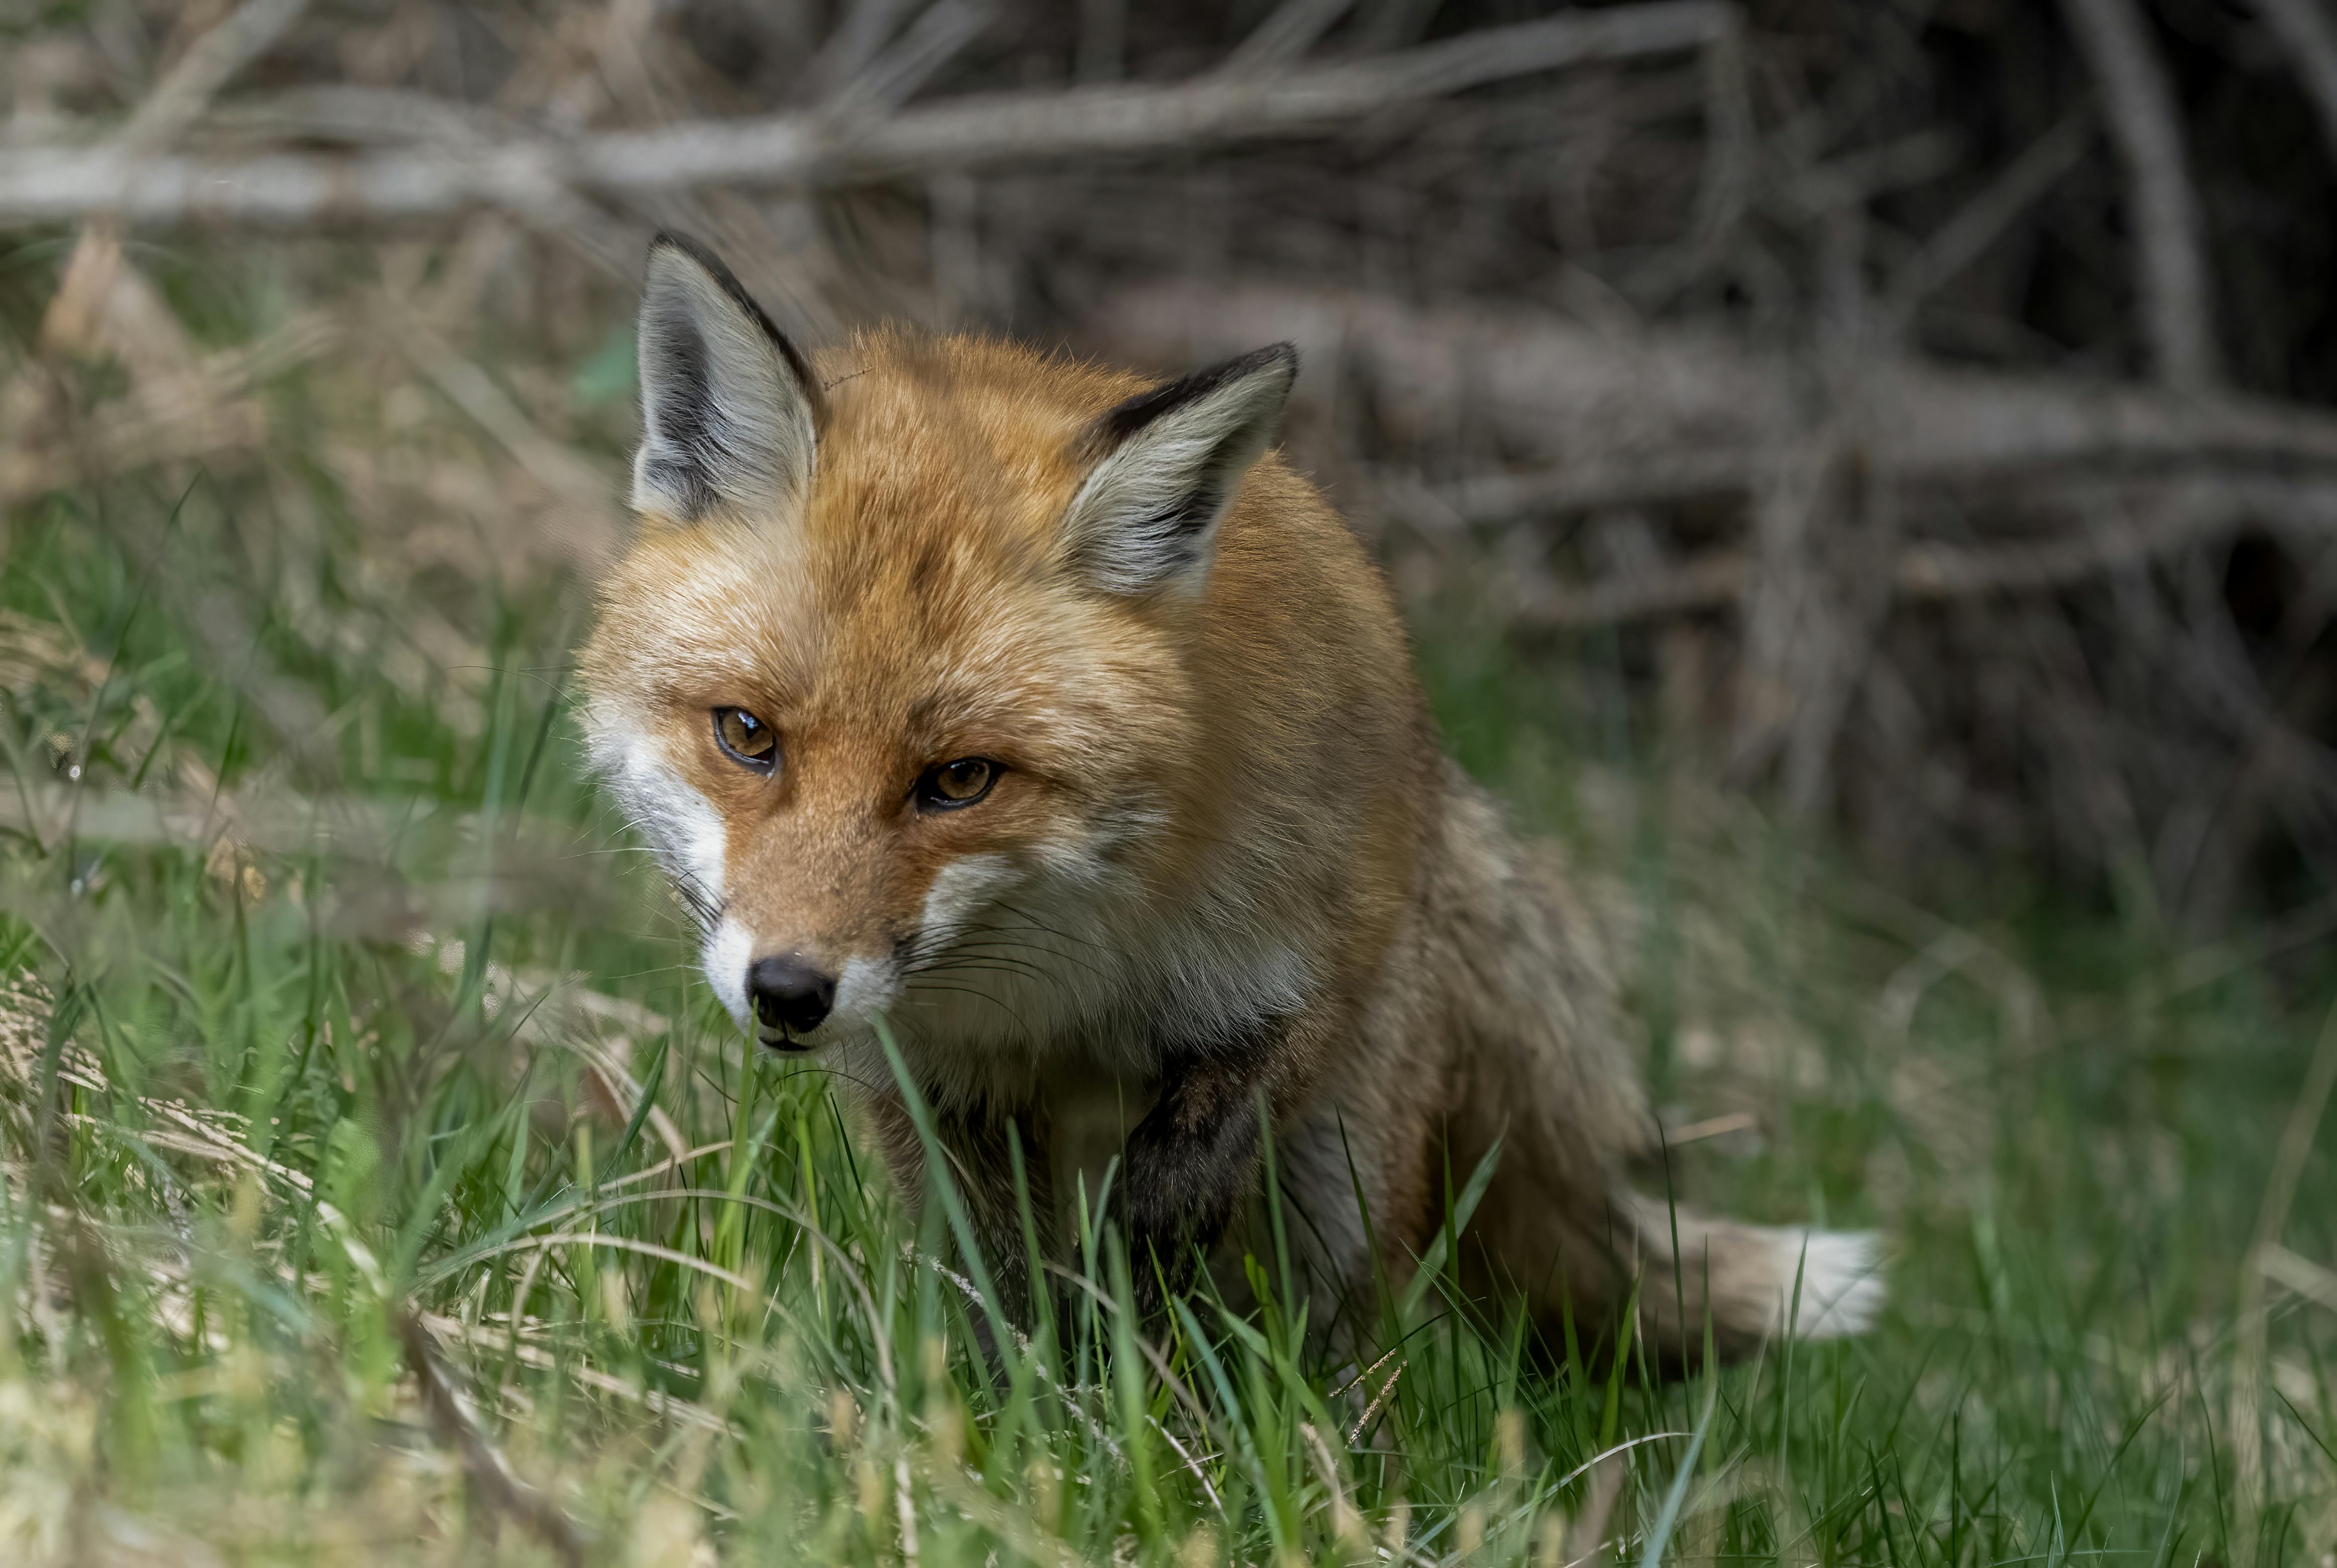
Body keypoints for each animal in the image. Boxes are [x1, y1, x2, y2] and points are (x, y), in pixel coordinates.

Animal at [578, 232, 1882, 1361]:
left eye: (958, 779)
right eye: (747, 736)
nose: (788, 992)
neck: (1070, 973)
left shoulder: (1303, 978)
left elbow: (1181, 1185)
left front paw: (1124, 1353)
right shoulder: (926, 1078)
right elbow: (1003, 1274)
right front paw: (1030, 1402)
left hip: (1351, 1147)